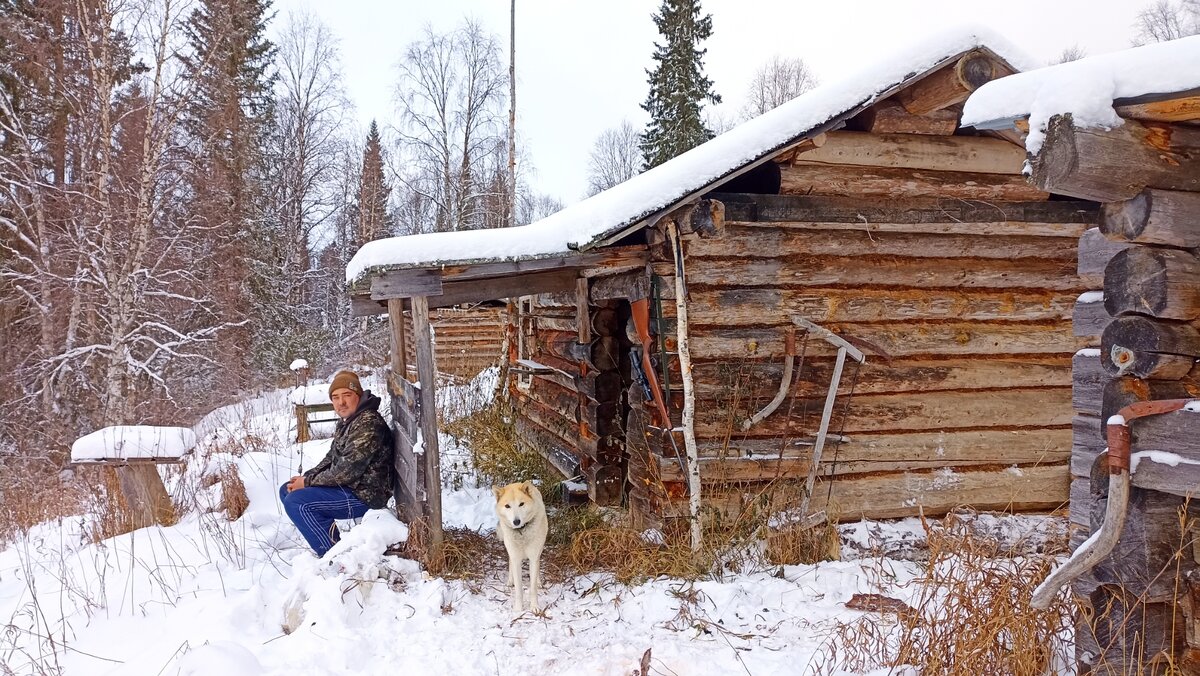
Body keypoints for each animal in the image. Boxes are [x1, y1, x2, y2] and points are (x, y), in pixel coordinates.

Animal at [492, 480, 549, 614]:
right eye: (507, 506)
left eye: (521, 504)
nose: (516, 521)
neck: (521, 532)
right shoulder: (516, 559)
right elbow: (519, 589)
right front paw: (518, 609)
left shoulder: (533, 558)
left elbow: (532, 589)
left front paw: (534, 607)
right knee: (510, 562)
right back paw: (510, 581)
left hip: (539, 550)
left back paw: (538, 581)